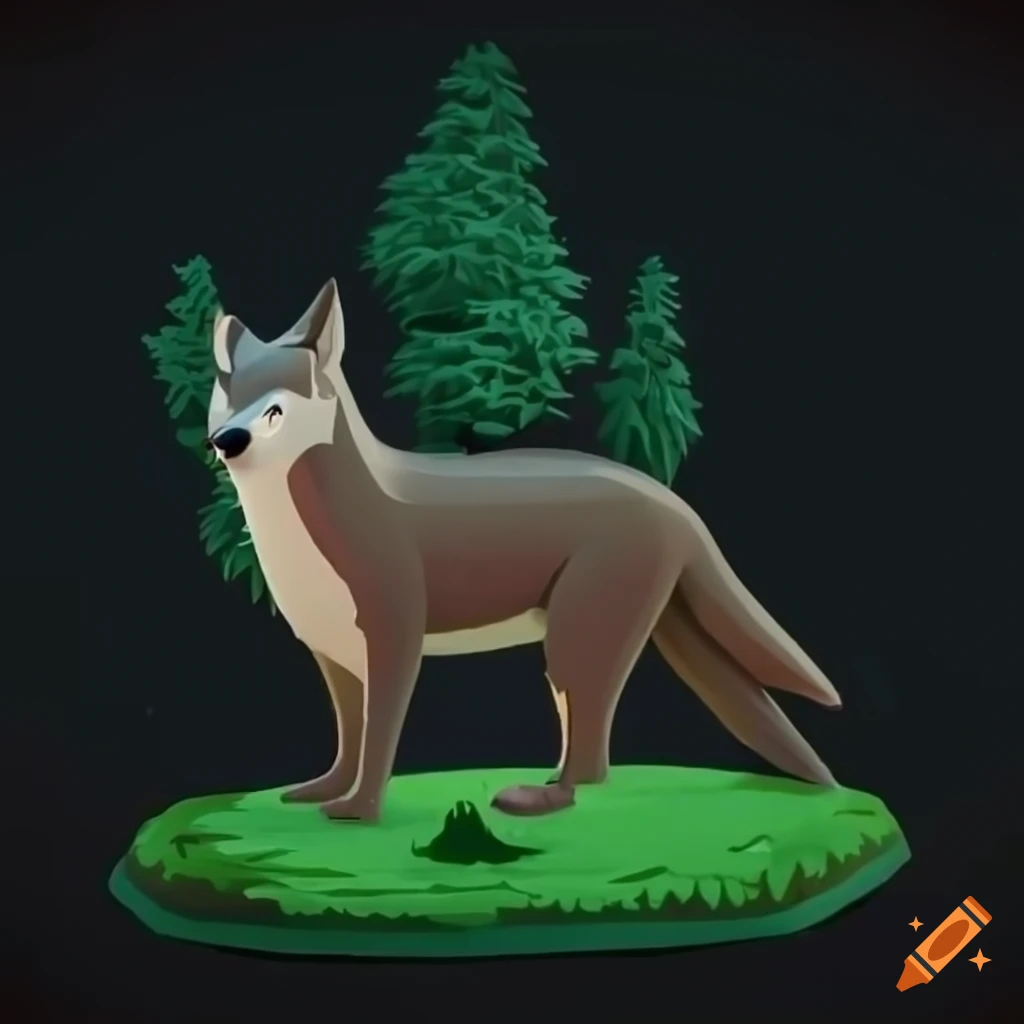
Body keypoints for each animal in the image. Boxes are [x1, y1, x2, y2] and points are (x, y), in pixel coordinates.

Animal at [206, 279, 842, 823]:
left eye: (274, 410)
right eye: (223, 403)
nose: (227, 440)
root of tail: (674, 502)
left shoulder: (394, 631)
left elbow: (379, 735)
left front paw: (358, 811)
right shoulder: (331, 646)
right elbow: (348, 735)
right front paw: (322, 790)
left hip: (580, 628)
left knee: (589, 756)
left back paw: (534, 798)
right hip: (647, 625)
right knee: (607, 755)